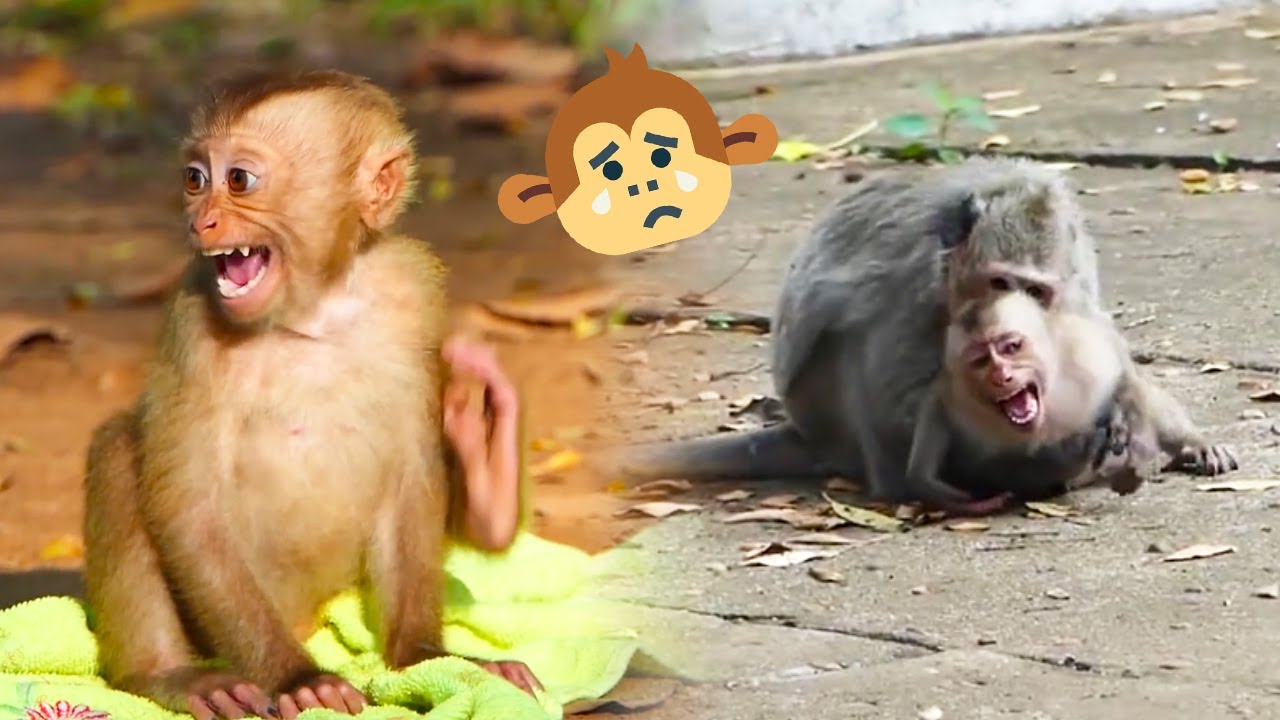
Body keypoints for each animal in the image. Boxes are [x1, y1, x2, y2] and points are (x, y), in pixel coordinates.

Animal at [81, 69, 541, 720]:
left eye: (239, 180)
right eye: (195, 180)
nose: (201, 222)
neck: (312, 310)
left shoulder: (415, 294)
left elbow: (413, 478)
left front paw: (424, 657)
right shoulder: (192, 317)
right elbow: (189, 507)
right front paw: (299, 679)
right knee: (121, 449)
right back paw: (166, 674)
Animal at [609, 158, 1236, 511]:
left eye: (1032, 291)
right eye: (999, 281)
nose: (1007, 314)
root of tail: (813, 436)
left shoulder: (1074, 278)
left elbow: (1102, 347)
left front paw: (1168, 432)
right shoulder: (914, 277)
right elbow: (902, 388)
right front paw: (1056, 456)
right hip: (836, 421)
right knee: (850, 346)